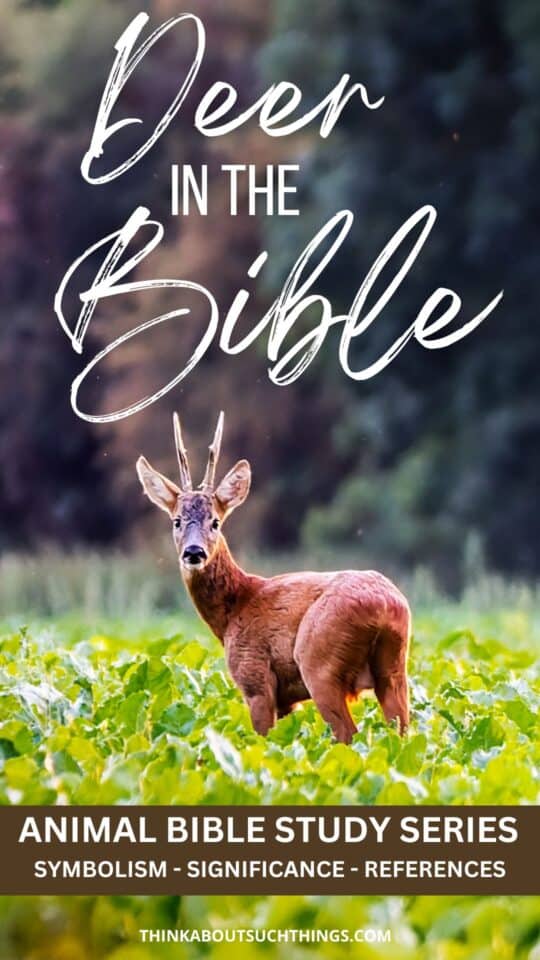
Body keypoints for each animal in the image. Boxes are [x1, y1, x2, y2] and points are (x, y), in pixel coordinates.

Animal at [136, 413, 410, 744]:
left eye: (215, 521)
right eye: (176, 521)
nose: (193, 552)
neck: (233, 610)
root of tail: (383, 606)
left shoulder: (255, 679)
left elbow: (263, 741)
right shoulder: (287, 700)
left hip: (319, 662)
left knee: (348, 734)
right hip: (394, 668)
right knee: (403, 732)